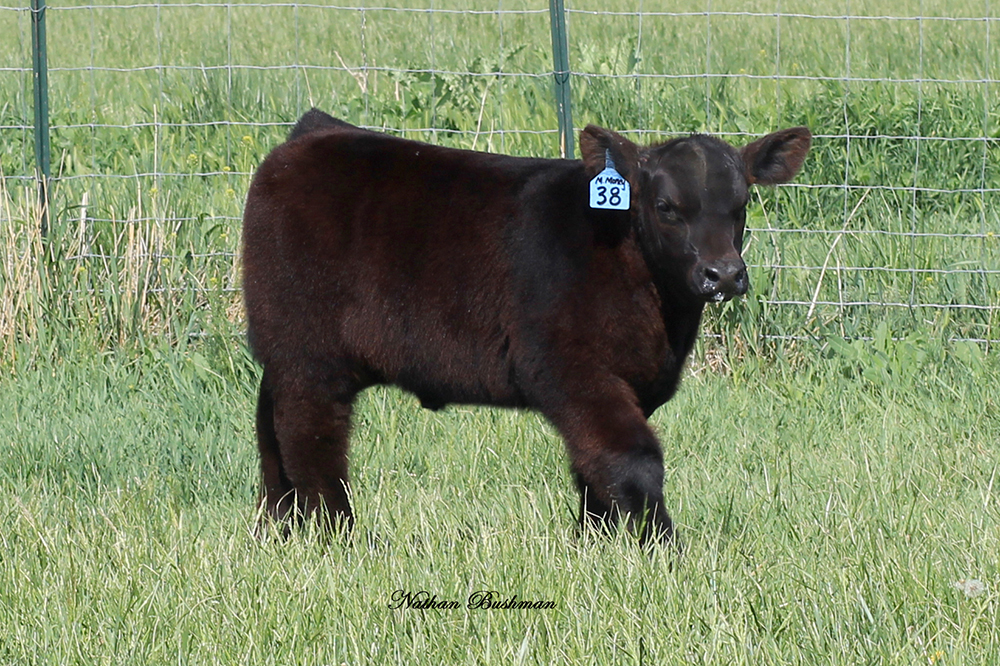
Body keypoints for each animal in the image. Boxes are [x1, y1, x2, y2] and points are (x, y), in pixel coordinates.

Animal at [242, 108, 811, 545]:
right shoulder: (567, 368)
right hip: (309, 356)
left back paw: (276, 529)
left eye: (741, 205)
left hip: (284, 356)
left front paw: (596, 544)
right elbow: (633, 458)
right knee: (310, 436)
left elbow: (595, 467)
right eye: (666, 206)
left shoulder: (630, 382)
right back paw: (336, 536)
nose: (724, 274)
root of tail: (315, 134)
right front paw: (662, 550)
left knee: (268, 428)